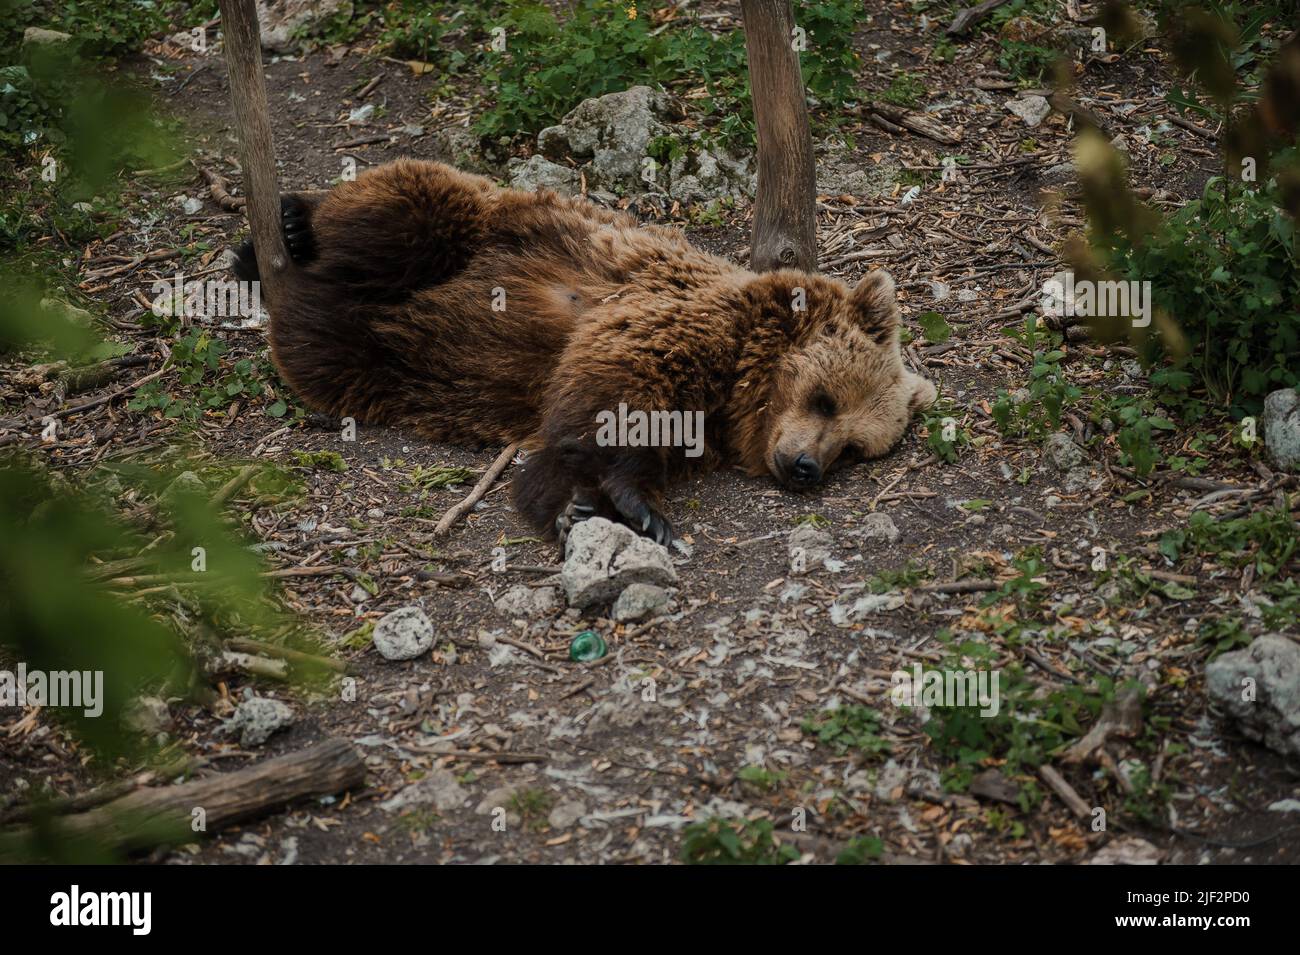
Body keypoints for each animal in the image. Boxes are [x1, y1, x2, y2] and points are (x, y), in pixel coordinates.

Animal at [232, 158, 937, 546]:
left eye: (855, 448)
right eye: (826, 398)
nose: (806, 467)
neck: (739, 393)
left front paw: (581, 504)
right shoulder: (671, 320)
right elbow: (612, 396)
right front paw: (641, 510)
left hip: (367, 362)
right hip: (482, 217)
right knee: (401, 211)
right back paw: (286, 232)